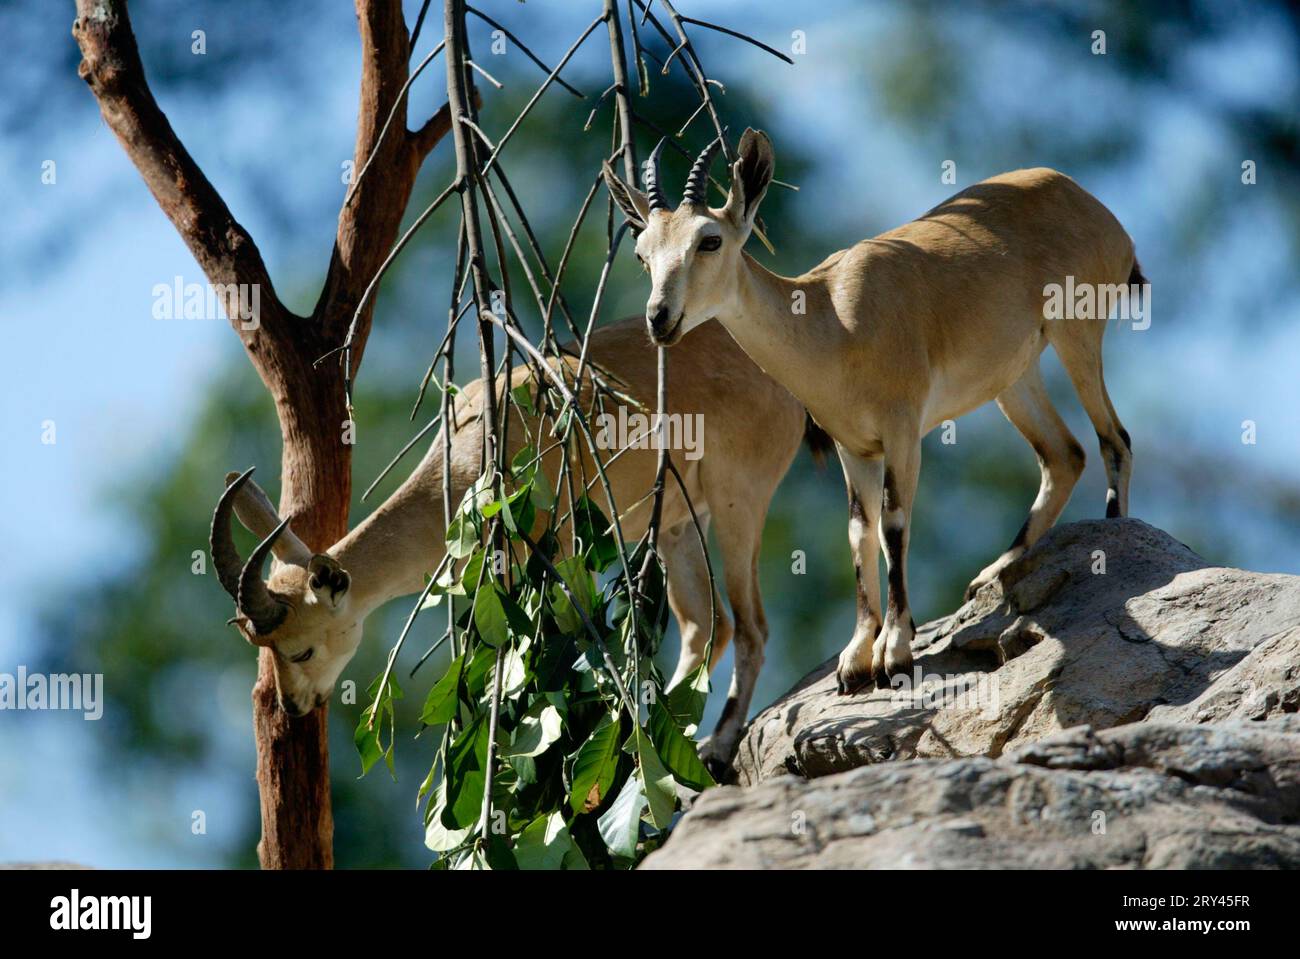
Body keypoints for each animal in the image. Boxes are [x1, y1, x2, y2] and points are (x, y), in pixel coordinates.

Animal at [210, 316, 807, 770]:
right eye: (264, 648)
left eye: (301, 648)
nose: (294, 707)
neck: (468, 459)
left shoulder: (559, 553)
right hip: (677, 525)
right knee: (707, 626)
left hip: (738, 500)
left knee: (752, 626)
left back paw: (716, 747)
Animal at [603, 129, 1139, 694]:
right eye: (642, 252)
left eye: (709, 240)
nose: (660, 318)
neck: (833, 317)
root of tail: (1088, 203)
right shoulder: (854, 447)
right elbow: (859, 532)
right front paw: (856, 657)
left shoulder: (902, 432)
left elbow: (894, 525)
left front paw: (895, 652)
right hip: (1015, 378)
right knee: (1064, 454)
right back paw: (992, 574)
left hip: (1076, 336)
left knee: (1114, 439)